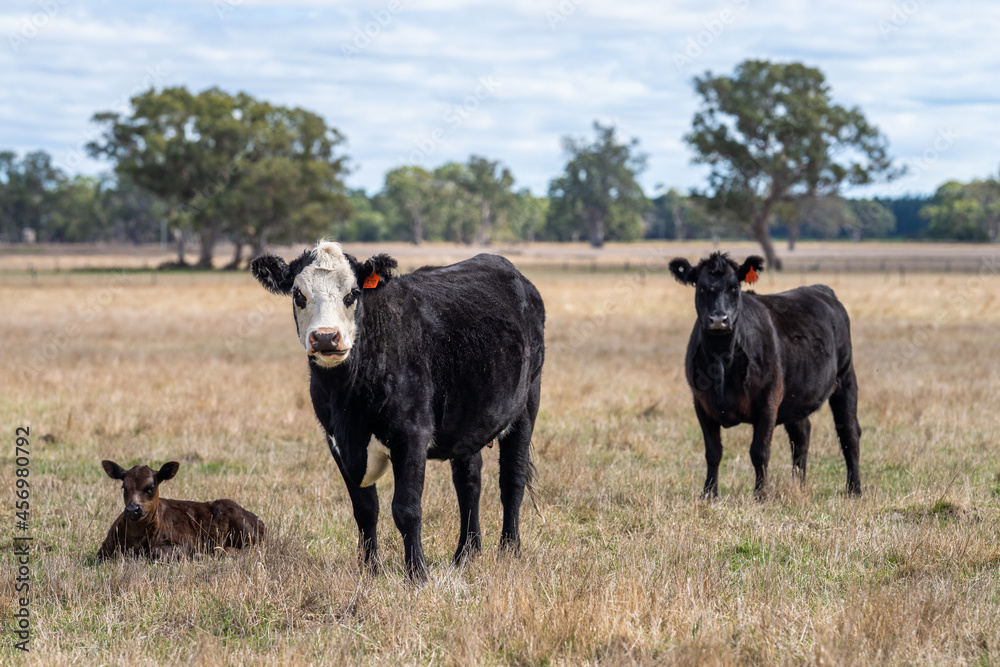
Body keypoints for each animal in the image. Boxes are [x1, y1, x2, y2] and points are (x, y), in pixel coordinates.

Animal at [96, 460, 265, 561]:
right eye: (123, 487)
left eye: (151, 487)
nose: (132, 509)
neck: (136, 540)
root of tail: (257, 519)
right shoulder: (104, 550)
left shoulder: (185, 543)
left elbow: (156, 552)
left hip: (246, 531)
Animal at [250, 241, 545, 582]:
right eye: (299, 294)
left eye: (352, 293)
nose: (325, 337)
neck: (347, 399)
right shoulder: (336, 441)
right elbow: (365, 509)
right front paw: (369, 570)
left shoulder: (412, 435)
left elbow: (406, 509)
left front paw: (417, 573)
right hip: (469, 422)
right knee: (469, 484)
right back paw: (466, 554)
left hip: (527, 406)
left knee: (512, 479)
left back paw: (509, 551)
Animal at [668, 252, 862, 498]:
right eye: (701, 287)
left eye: (735, 287)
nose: (719, 319)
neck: (722, 361)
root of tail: (822, 289)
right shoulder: (701, 403)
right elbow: (713, 451)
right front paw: (709, 493)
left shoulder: (768, 401)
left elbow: (759, 451)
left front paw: (760, 494)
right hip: (795, 395)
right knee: (802, 435)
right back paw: (798, 486)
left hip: (845, 378)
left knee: (849, 432)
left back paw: (854, 489)